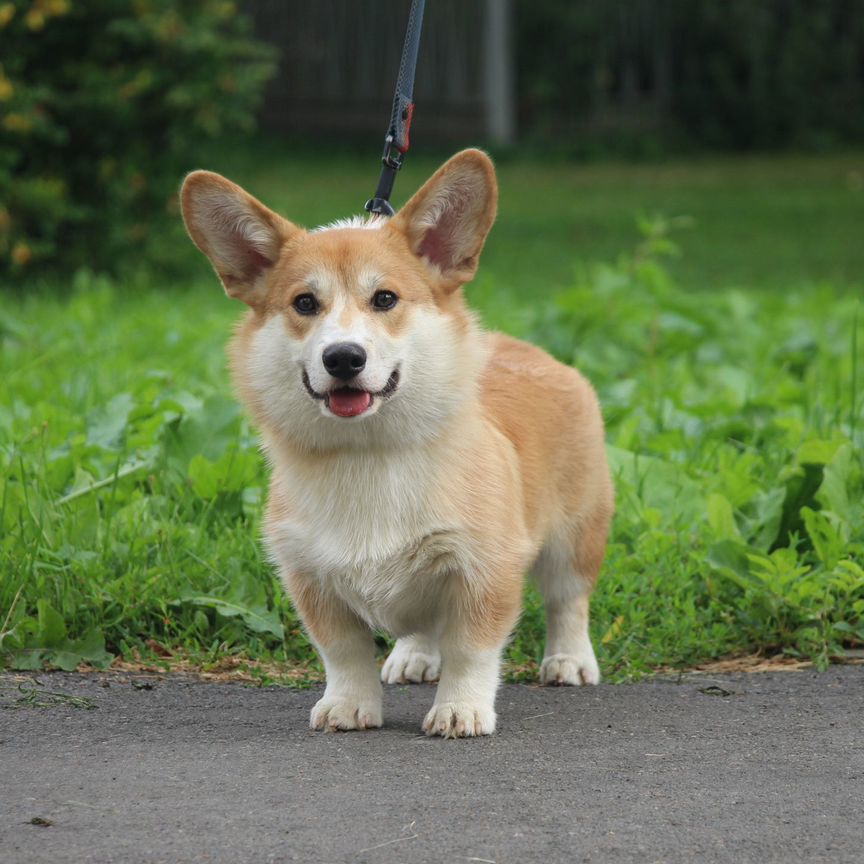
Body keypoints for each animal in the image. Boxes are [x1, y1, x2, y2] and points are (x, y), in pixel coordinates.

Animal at [181, 148, 616, 736]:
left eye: (385, 298)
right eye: (305, 303)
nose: (343, 357)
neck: (368, 451)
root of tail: (531, 350)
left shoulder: (484, 566)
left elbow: (472, 649)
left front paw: (460, 709)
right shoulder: (309, 575)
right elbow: (343, 652)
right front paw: (348, 705)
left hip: (575, 533)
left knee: (568, 599)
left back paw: (569, 660)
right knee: (422, 623)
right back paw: (413, 657)